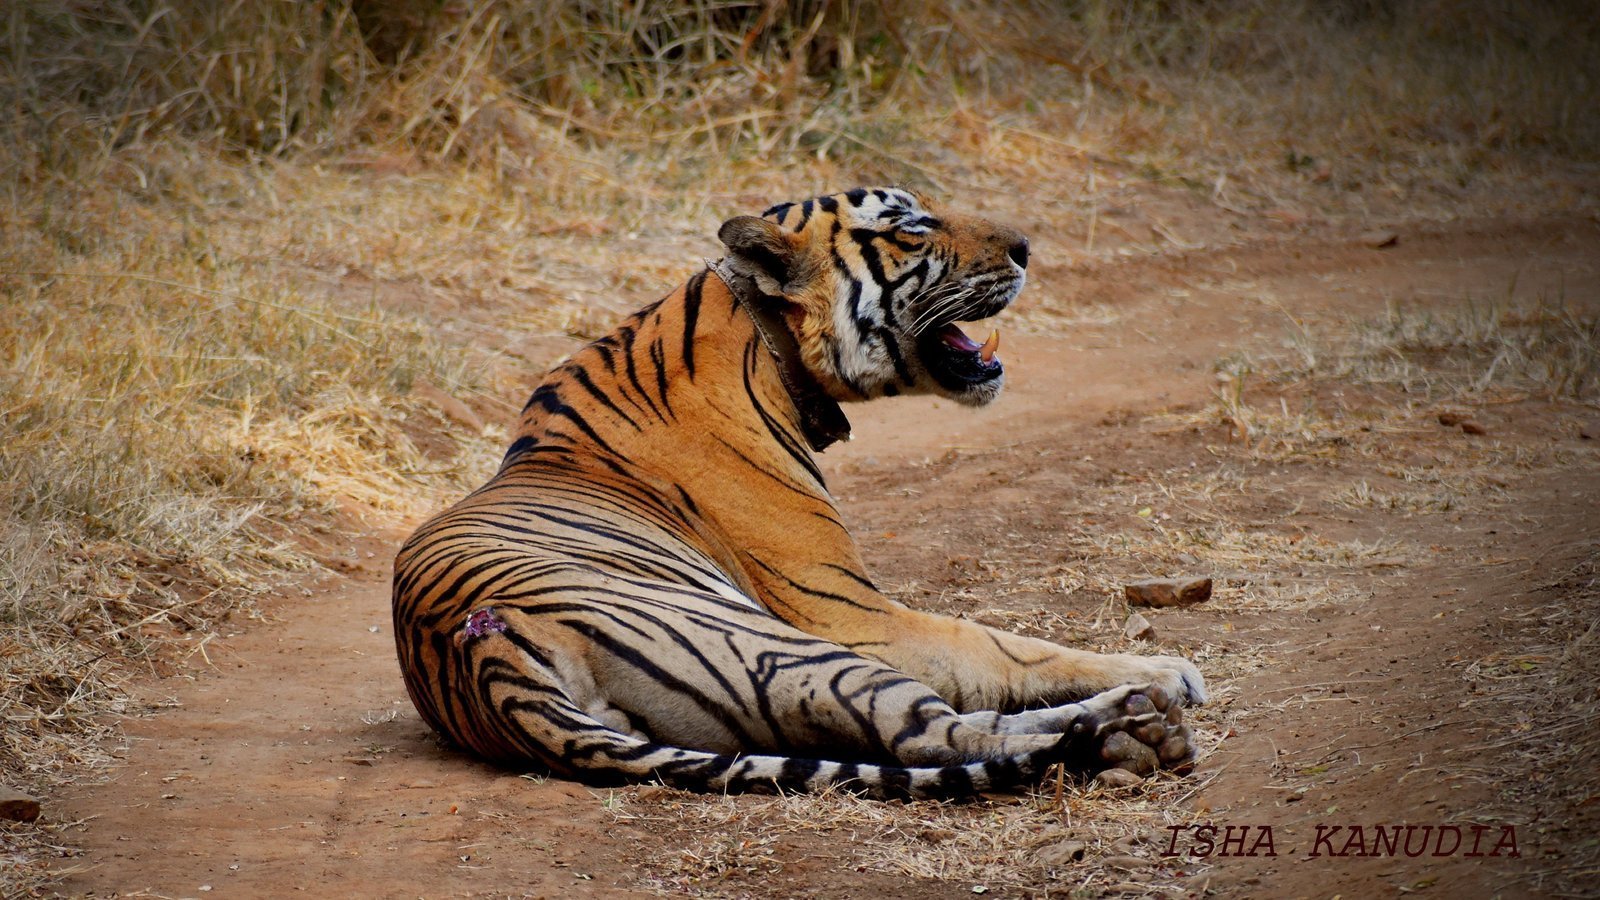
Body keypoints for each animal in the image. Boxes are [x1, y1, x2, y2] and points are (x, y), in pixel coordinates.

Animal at [392, 187, 1207, 800]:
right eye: (911, 226)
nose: (1028, 247)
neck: (767, 342)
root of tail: (486, 660)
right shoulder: (851, 611)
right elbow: (1007, 646)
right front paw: (1165, 668)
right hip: (795, 650)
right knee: (935, 734)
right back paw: (1138, 723)